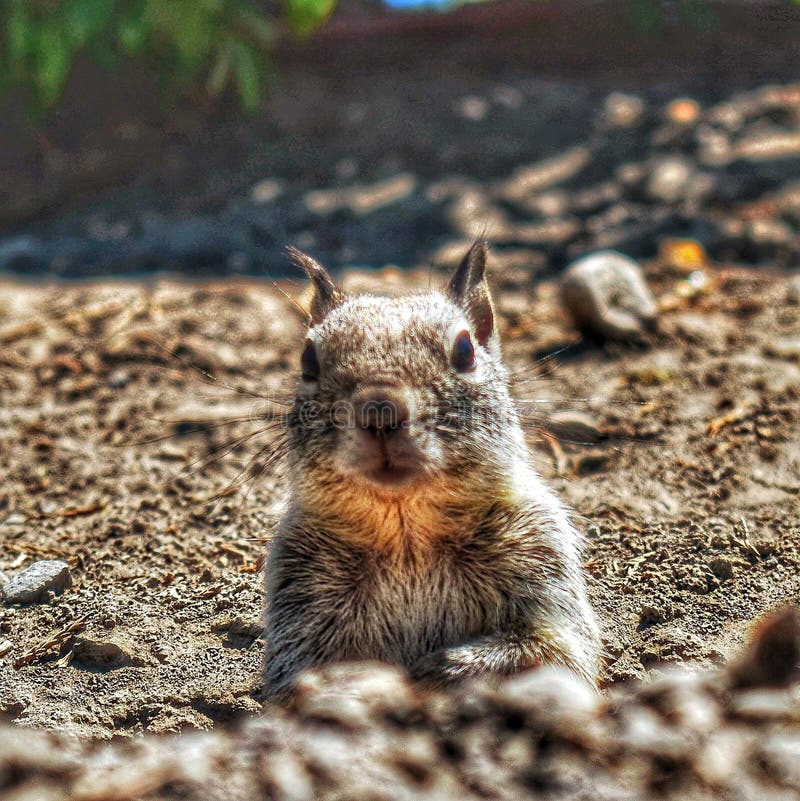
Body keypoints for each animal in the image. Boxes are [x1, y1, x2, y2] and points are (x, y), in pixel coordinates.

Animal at [263, 241, 601, 700]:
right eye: (308, 359)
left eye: (466, 351)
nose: (380, 409)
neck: (408, 536)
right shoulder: (301, 599)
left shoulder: (542, 560)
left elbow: (551, 650)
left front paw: (446, 667)